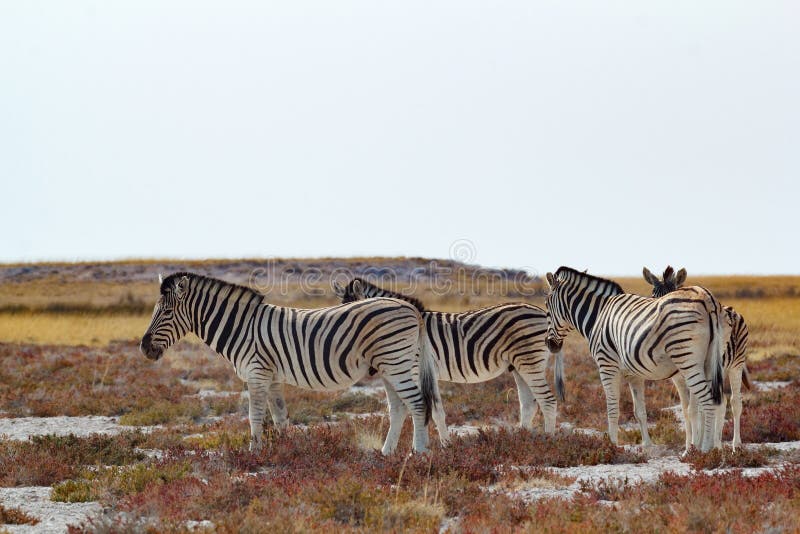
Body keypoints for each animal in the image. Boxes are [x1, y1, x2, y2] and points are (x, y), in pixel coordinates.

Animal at [140, 272, 444, 455]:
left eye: (166, 312)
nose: (143, 348)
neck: (242, 327)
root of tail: (412, 309)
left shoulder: (257, 373)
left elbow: (254, 416)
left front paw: (253, 454)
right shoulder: (272, 378)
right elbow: (280, 417)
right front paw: (285, 452)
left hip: (396, 361)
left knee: (418, 404)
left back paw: (418, 453)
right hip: (389, 365)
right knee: (400, 407)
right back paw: (386, 454)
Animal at [333, 277, 565, 435]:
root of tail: (543, 314)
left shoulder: (416, 370)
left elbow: (429, 408)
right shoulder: (429, 373)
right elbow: (437, 411)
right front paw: (446, 446)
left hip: (530, 362)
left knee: (548, 401)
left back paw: (547, 441)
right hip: (518, 366)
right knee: (529, 404)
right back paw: (520, 439)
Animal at [544, 266, 728, 452]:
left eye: (547, 305)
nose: (550, 344)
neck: (599, 315)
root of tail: (707, 298)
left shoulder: (606, 365)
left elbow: (612, 409)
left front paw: (612, 445)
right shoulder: (634, 375)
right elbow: (640, 412)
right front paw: (647, 445)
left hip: (687, 360)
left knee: (707, 402)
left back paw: (703, 450)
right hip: (709, 362)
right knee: (711, 402)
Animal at [643, 265, 750, 449]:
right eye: (653, 297)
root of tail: (731, 309)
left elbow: (694, 409)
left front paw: (696, 445)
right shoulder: (678, 378)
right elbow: (686, 409)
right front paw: (690, 447)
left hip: (736, 364)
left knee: (735, 402)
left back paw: (736, 446)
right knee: (721, 402)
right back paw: (717, 443)